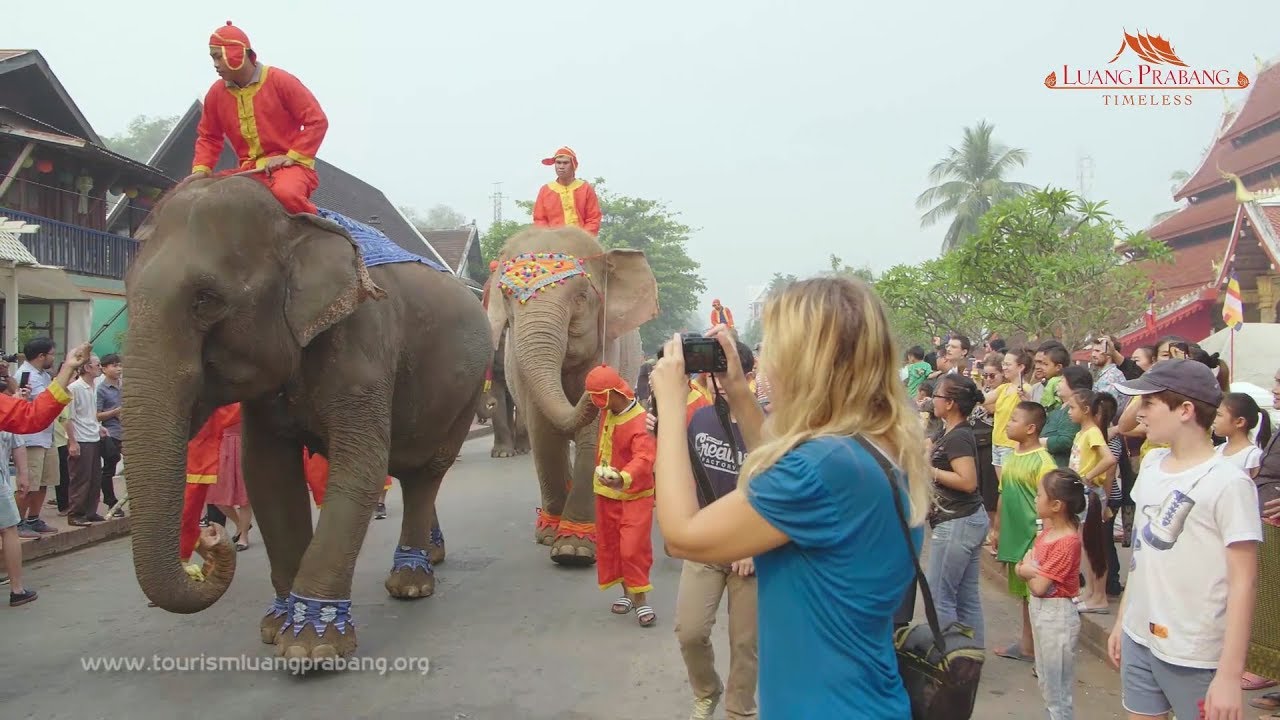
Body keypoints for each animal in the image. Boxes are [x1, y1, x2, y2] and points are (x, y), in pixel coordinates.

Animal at [123, 176, 491, 660]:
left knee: (426, 472)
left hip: (467, 391)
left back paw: (411, 582)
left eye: (206, 300)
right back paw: (432, 556)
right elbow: (266, 473)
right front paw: (275, 626)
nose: (210, 537)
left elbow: (362, 466)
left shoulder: (363, 342)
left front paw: (310, 647)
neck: (295, 223)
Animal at [486, 226, 656, 565]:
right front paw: (551, 538)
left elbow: (593, 435)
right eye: (506, 297)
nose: (601, 383)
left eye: (581, 297)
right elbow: (543, 433)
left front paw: (573, 550)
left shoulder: (609, 343)